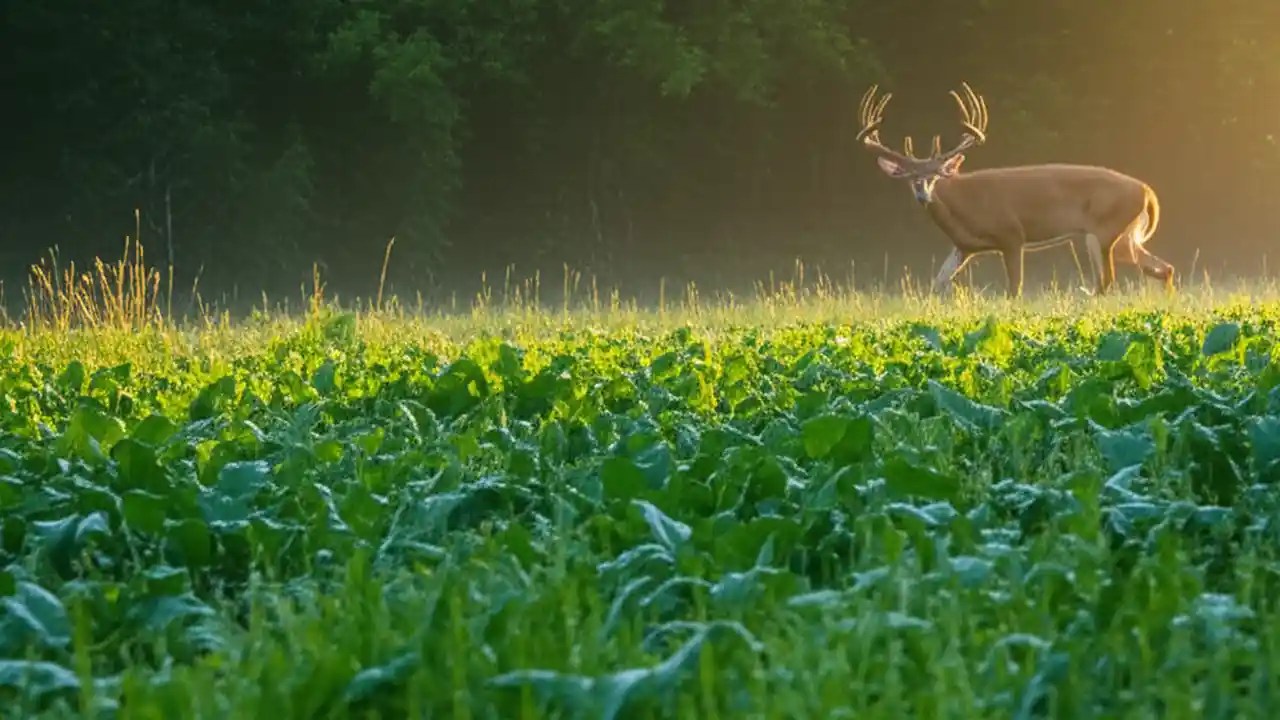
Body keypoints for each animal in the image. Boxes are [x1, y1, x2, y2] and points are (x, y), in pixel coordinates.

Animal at [855, 82, 1174, 298]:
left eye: (935, 175)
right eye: (910, 177)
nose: (923, 194)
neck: (962, 209)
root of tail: (1147, 192)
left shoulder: (1012, 235)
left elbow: (1014, 289)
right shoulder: (963, 246)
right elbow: (939, 283)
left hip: (1106, 231)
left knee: (1109, 279)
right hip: (1113, 237)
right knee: (1160, 268)